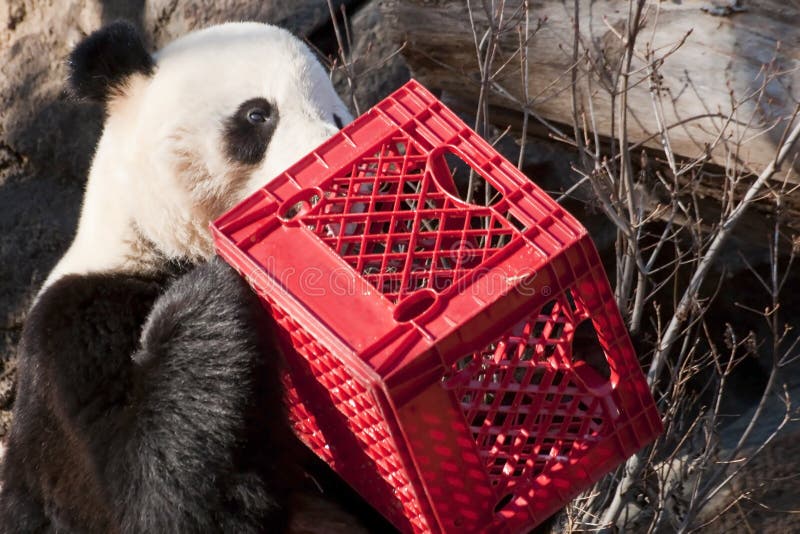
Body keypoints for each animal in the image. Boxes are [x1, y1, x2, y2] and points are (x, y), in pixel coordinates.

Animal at [0, 21, 355, 533]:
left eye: (339, 119)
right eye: (257, 114)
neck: (161, 247)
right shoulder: (73, 337)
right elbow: (151, 493)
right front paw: (209, 292)